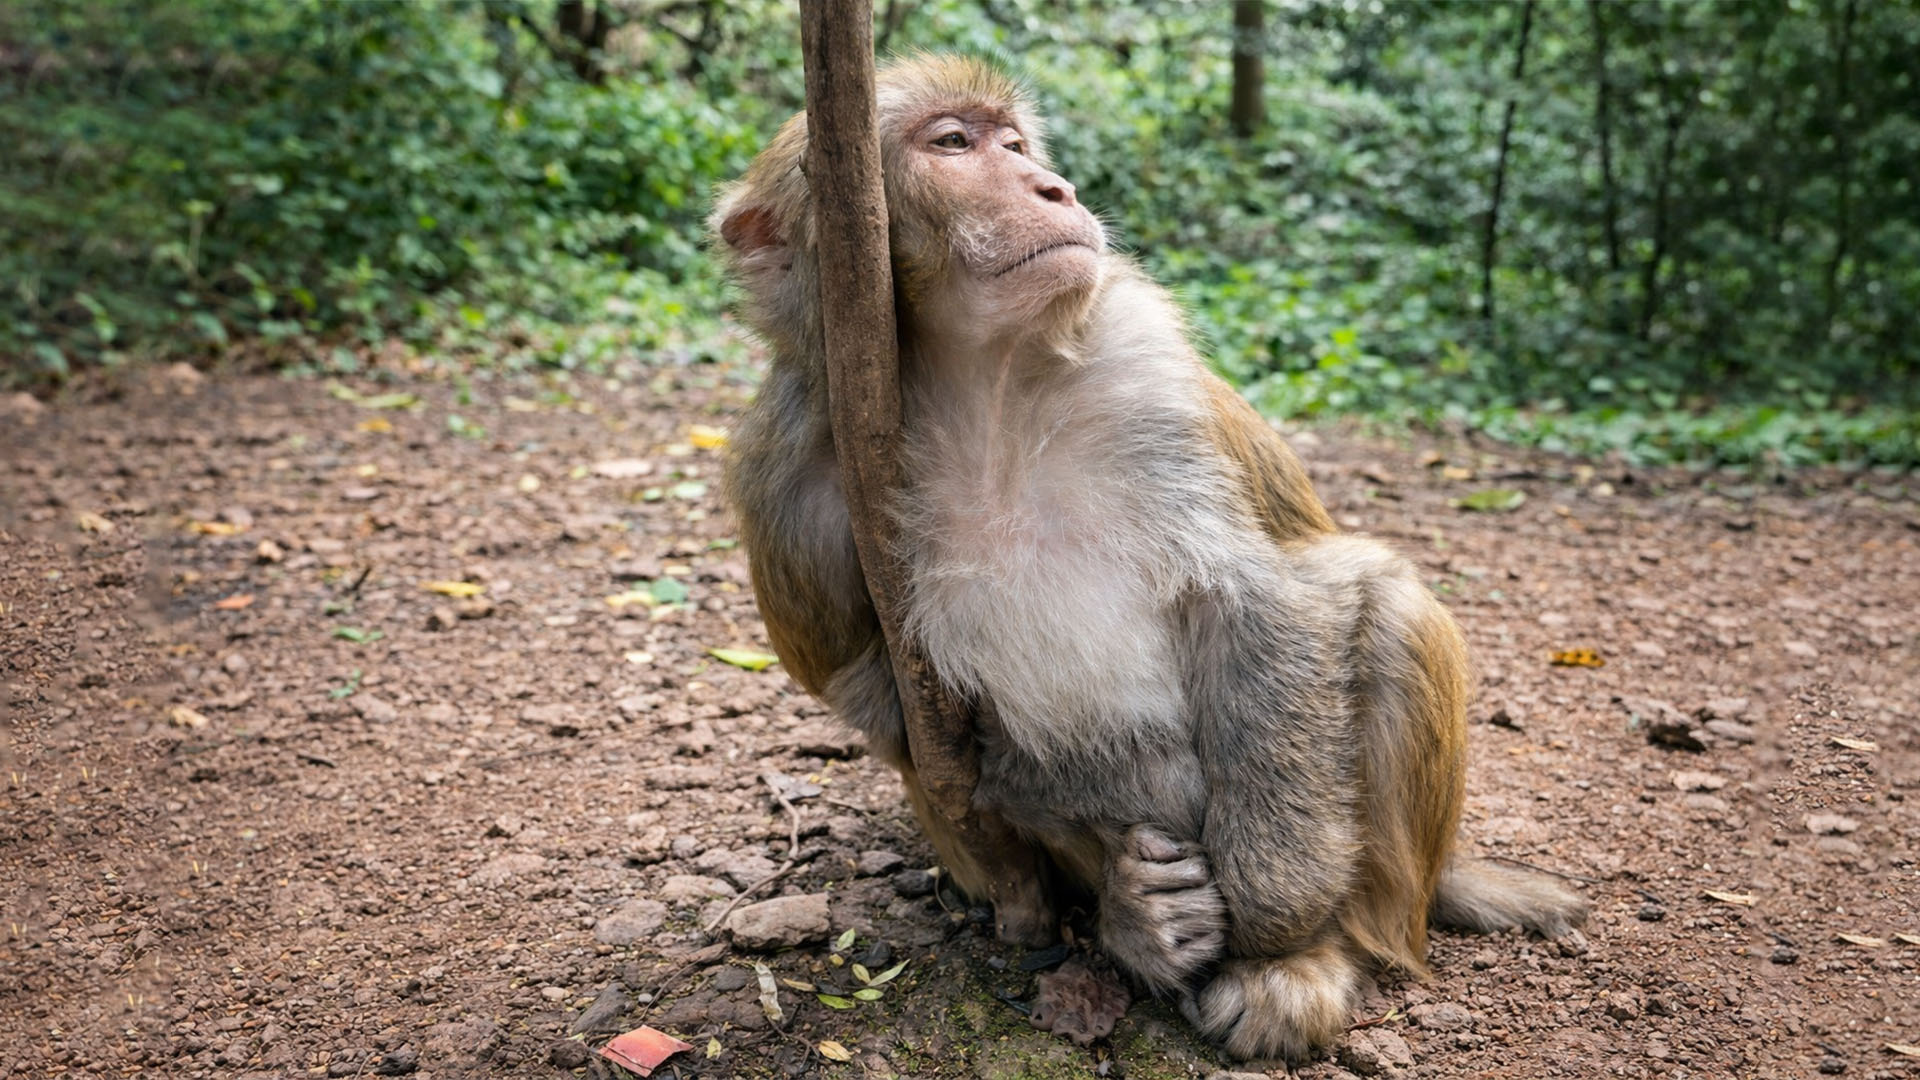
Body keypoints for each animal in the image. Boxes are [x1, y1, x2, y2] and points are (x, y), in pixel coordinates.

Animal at [714, 54, 1588, 1060]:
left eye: (1015, 143)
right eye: (953, 144)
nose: (1054, 188)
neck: (982, 384)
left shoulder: (1145, 370)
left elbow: (1268, 601)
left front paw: (1276, 928)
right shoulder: (789, 478)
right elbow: (880, 702)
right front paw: (1136, 900)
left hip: (1389, 879)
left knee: (1386, 611)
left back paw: (1315, 951)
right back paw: (1130, 917)